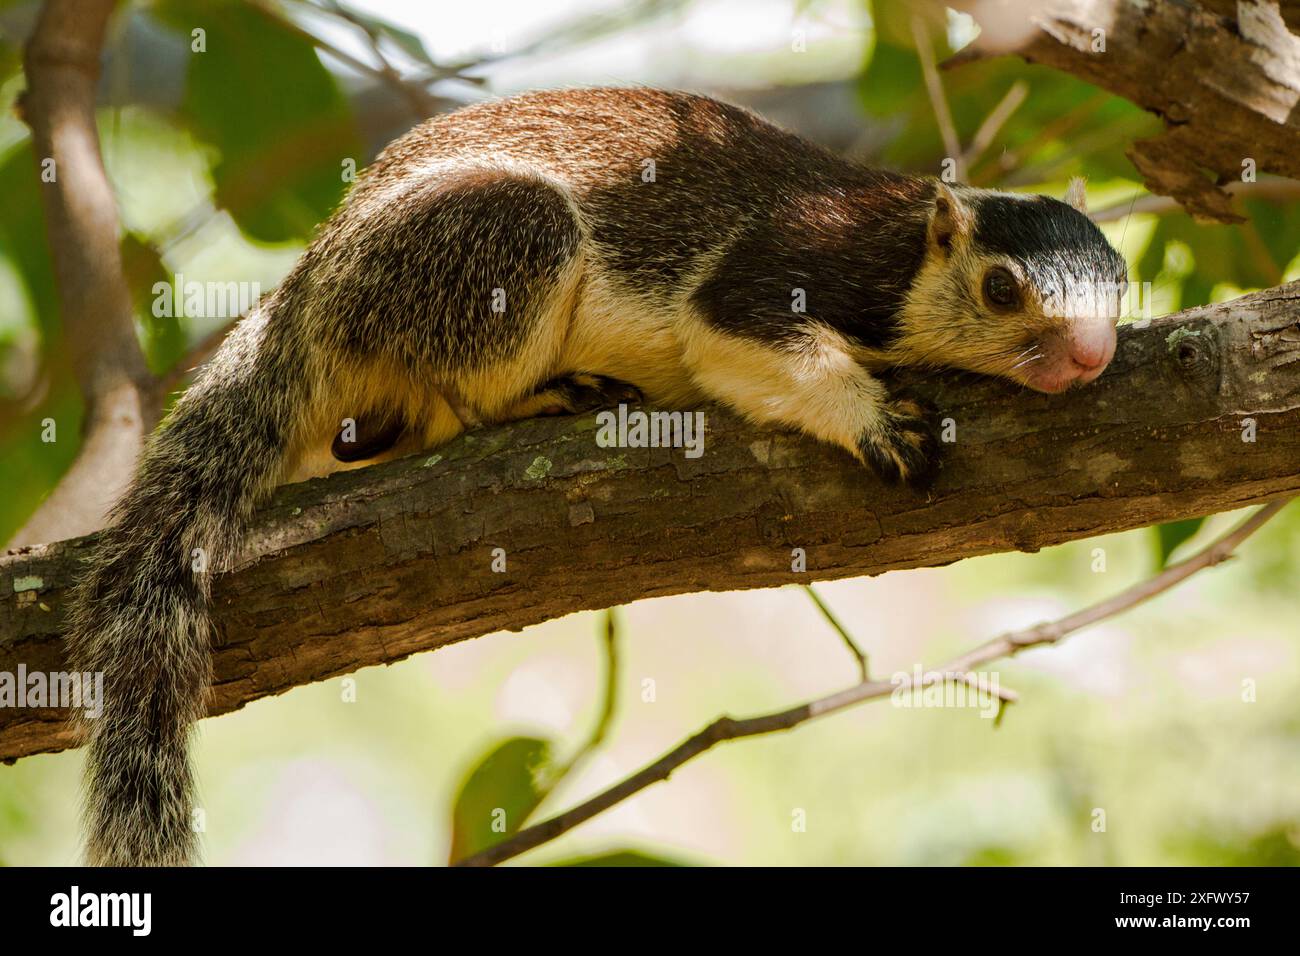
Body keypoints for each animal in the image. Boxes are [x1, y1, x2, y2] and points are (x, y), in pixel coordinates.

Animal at [64, 87, 1127, 865]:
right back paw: (536, 396)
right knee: (460, 390)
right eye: (1001, 288)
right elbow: (738, 336)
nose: (1092, 357)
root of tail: (303, 297)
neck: (902, 244)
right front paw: (879, 420)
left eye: (1122, 284)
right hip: (486, 244)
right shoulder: (784, 266)